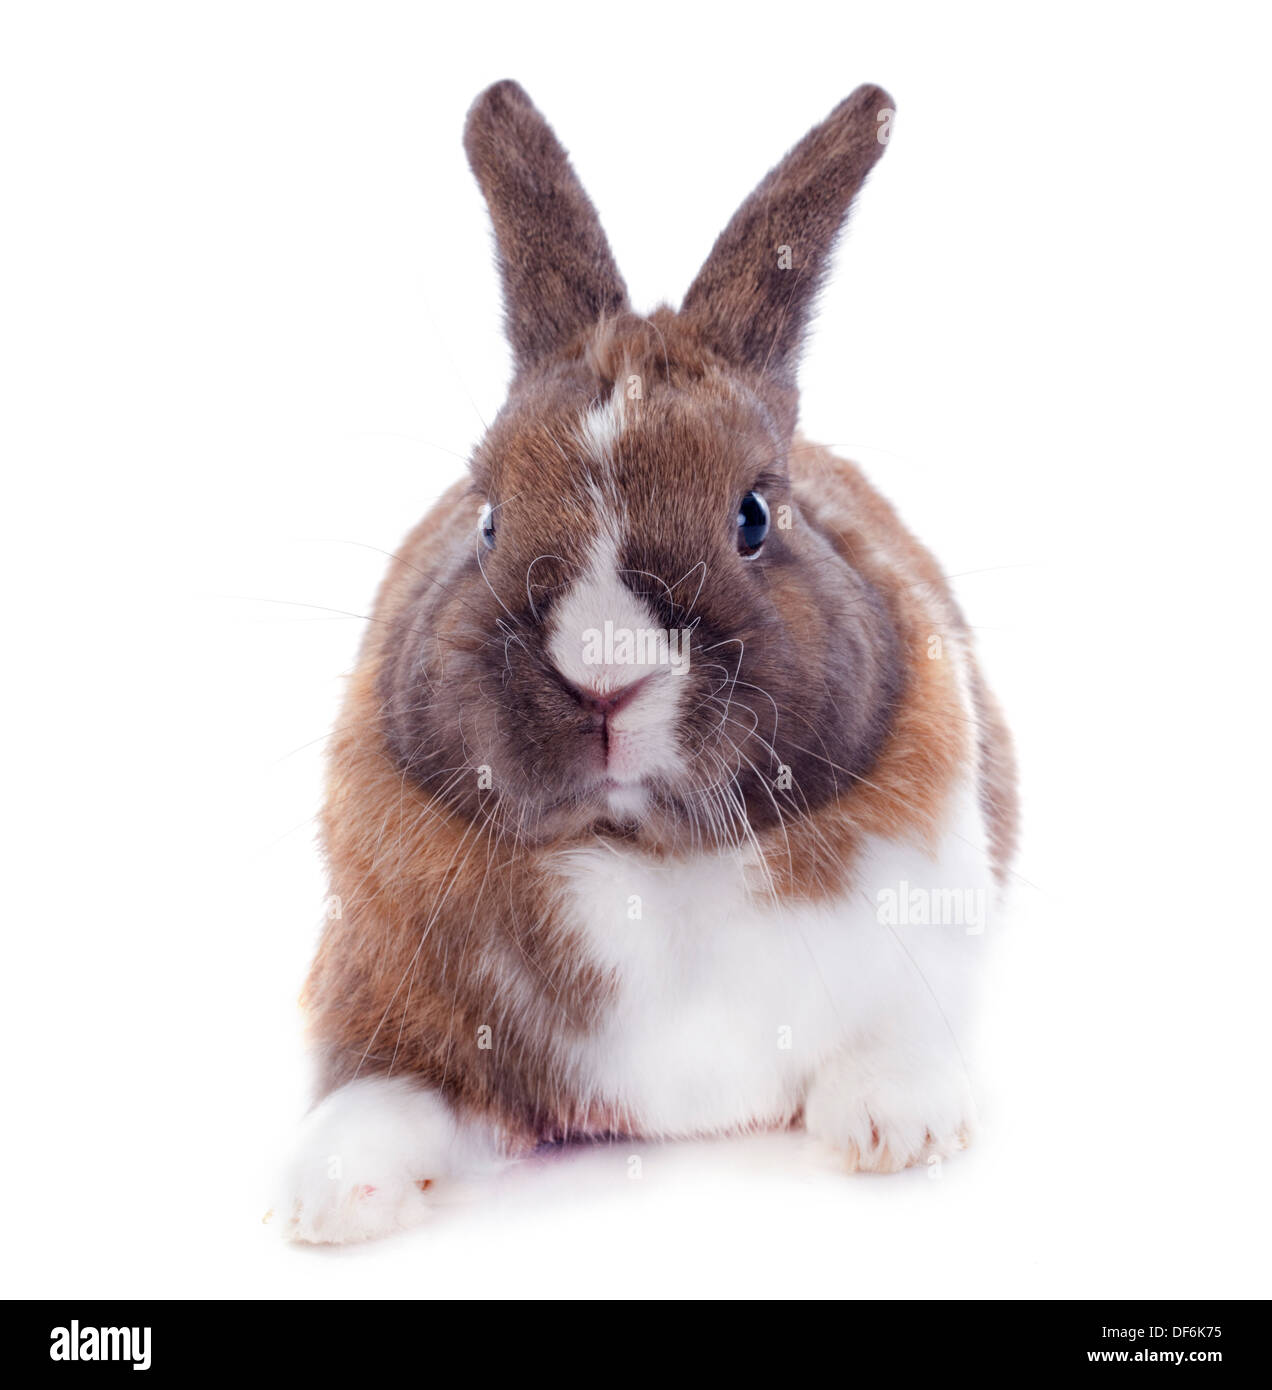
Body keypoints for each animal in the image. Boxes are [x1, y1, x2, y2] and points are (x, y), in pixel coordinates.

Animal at [273, 79, 1018, 1244]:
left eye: (754, 514)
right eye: (486, 519)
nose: (604, 677)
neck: (644, 863)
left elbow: (896, 1042)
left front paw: (896, 1128)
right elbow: (380, 1090)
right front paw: (325, 1194)